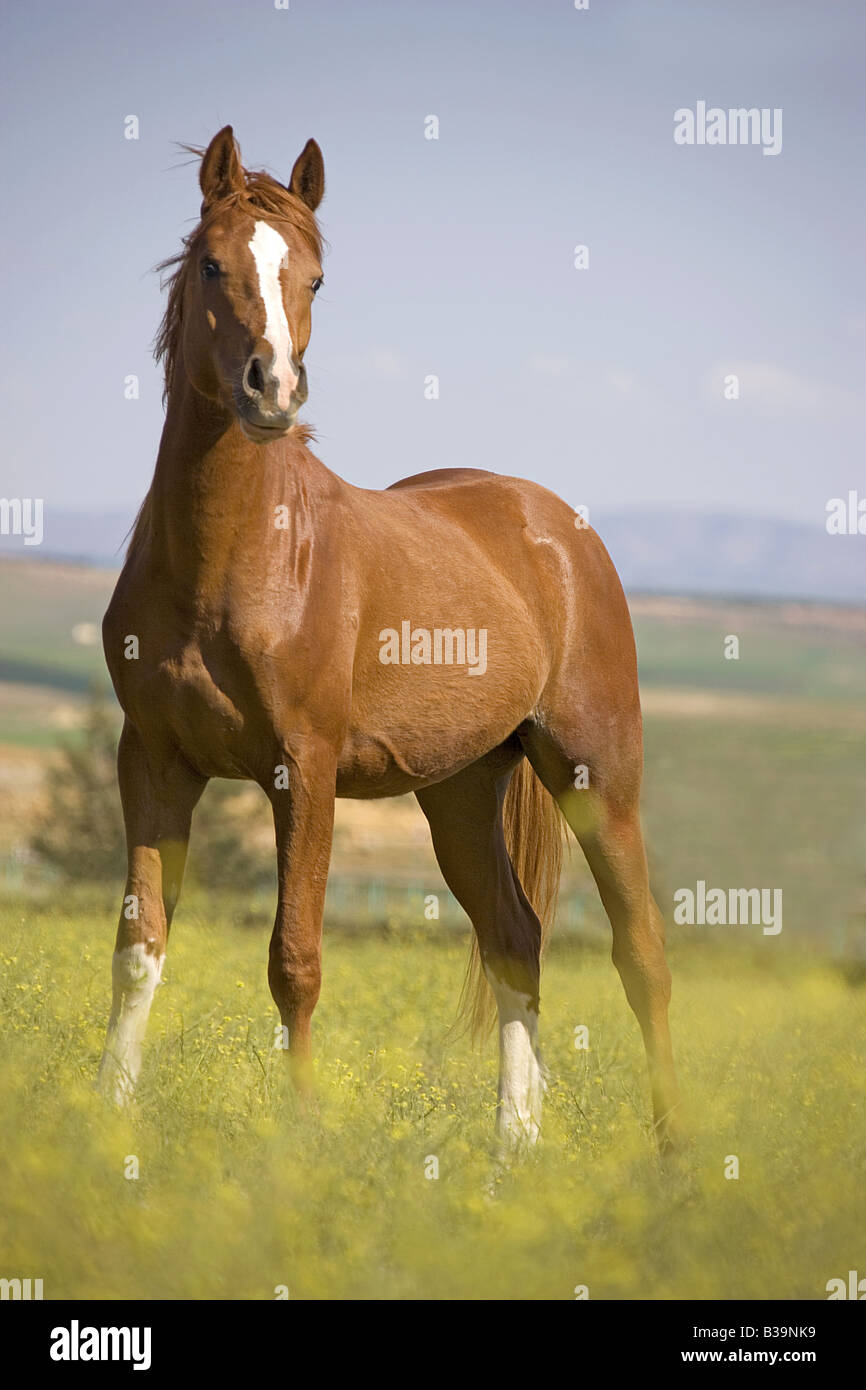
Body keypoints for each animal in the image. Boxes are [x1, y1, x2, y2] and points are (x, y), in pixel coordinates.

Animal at [98, 125, 681, 1152]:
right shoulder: (154, 761)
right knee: (515, 941)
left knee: (640, 955)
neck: (237, 557)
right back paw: (512, 1151)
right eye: (211, 262)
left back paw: (676, 1157)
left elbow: (295, 960)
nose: (272, 390)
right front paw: (105, 1123)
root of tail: (557, 528)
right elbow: (140, 946)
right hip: (461, 790)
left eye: (316, 278)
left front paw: (298, 1143)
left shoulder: (304, 769)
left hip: (596, 778)